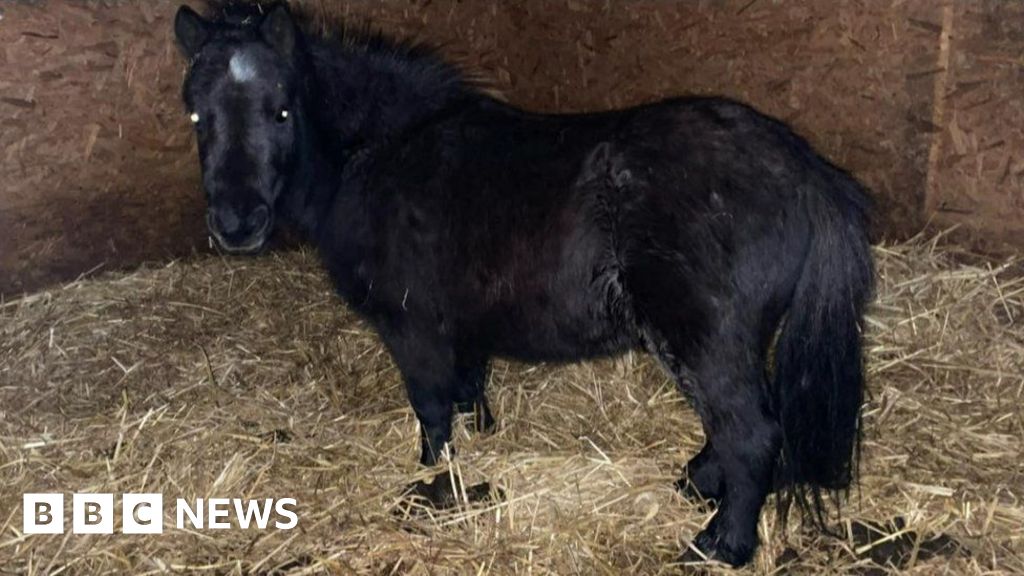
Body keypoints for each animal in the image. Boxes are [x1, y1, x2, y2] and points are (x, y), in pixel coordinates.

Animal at [174, 2, 874, 566]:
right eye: (197, 115)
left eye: (281, 110)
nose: (236, 224)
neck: (381, 155)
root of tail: (803, 170)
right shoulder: (460, 325)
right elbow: (467, 391)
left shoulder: (411, 328)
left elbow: (432, 413)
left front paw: (431, 479)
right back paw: (699, 483)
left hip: (704, 338)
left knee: (750, 433)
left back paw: (721, 545)